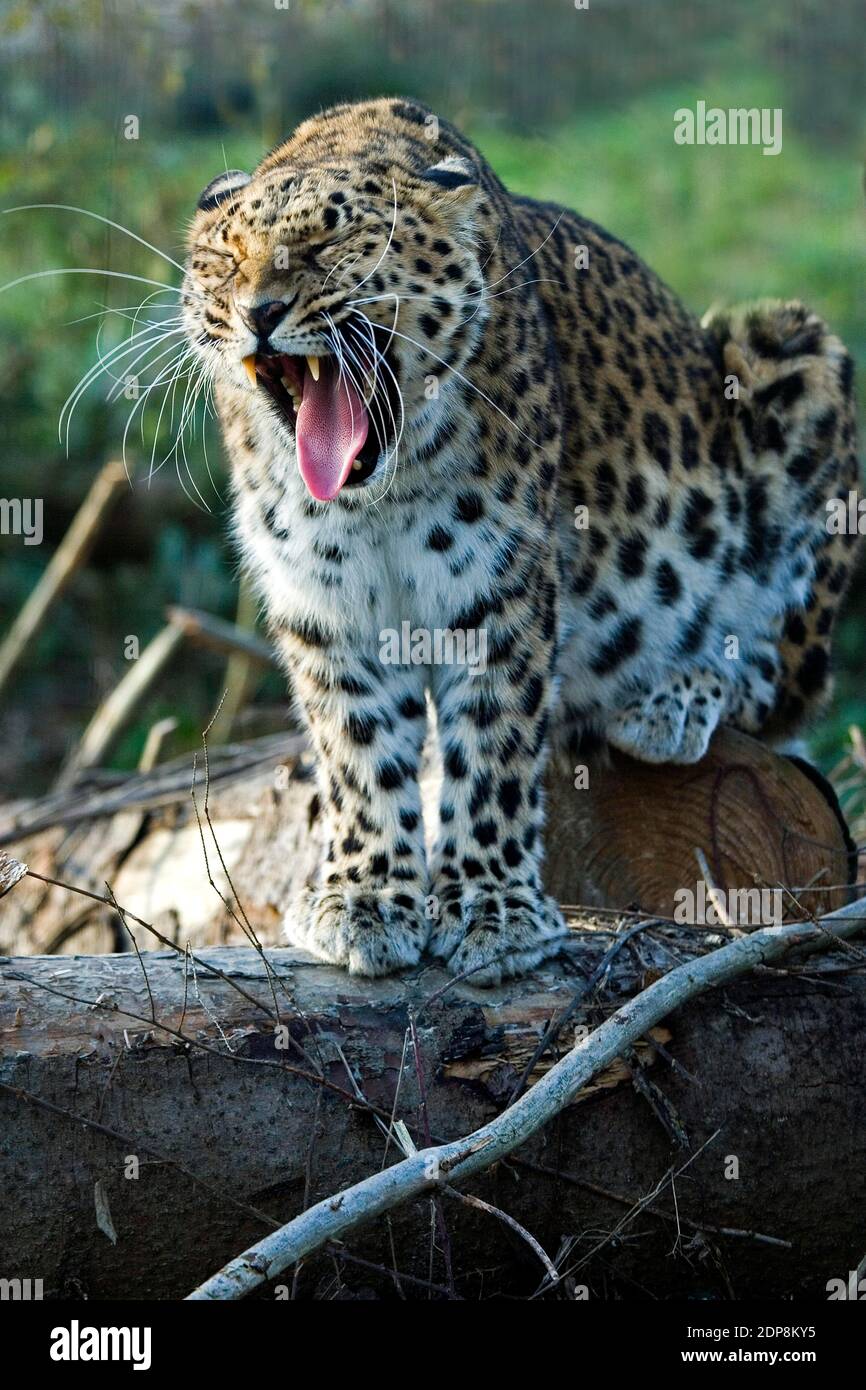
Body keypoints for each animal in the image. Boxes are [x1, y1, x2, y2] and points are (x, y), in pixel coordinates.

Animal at [182, 96, 860, 986]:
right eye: (226, 259)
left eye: (331, 244)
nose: (259, 313)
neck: (379, 497)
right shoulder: (324, 607)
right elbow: (358, 753)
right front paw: (365, 900)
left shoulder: (499, 591)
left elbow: (493, 748)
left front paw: (493, 909)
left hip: (795, 353)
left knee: (782, 683)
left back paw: (673, 693)